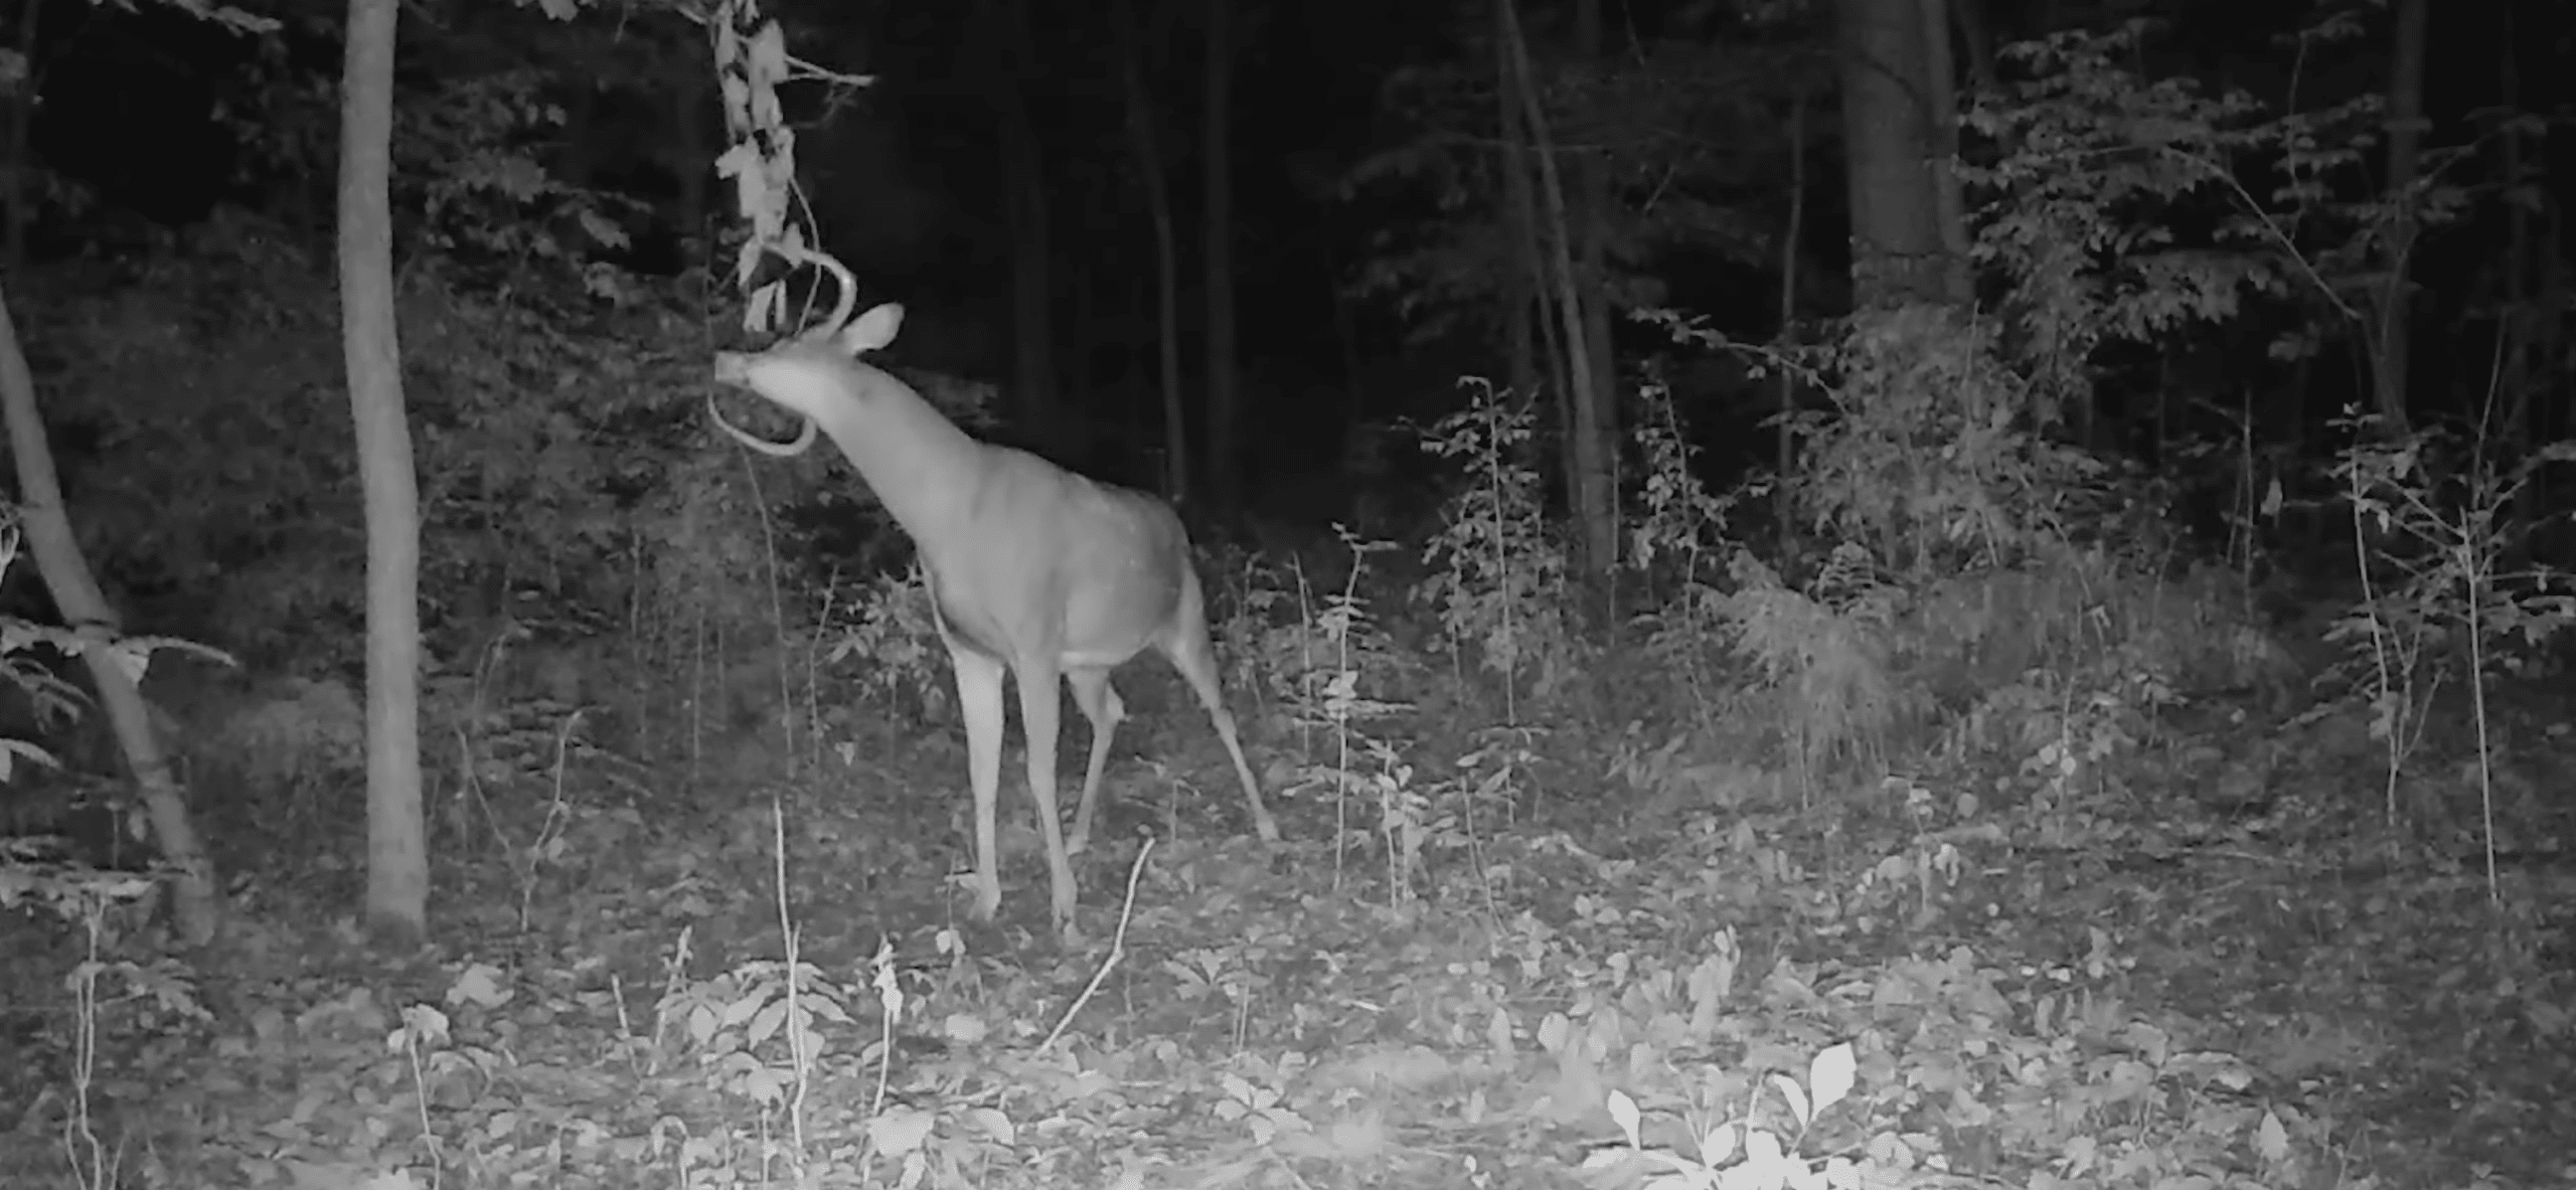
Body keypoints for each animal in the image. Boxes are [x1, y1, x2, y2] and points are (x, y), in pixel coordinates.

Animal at [708, 244, 1280, 942]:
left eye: (789, 345)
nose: (726, 359)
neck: (952, 515)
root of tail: (1173, 519)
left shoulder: (1031, 641)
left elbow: (1036, 768)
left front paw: (1065, 909)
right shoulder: (971, 650)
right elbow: (982, 771)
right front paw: (987, 899)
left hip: (1184, 620)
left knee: (1219, 711)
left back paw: (1266, 826)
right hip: (1086, 662)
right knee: (1112, 712)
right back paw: (1083, 834)